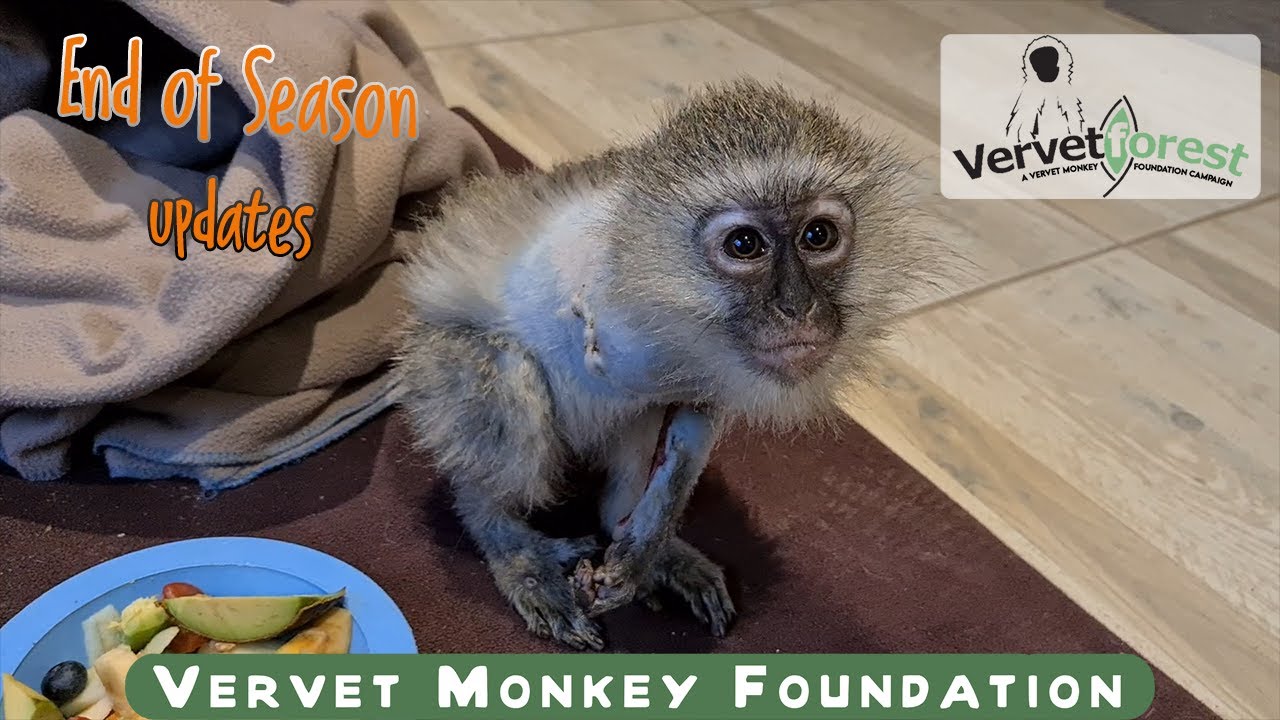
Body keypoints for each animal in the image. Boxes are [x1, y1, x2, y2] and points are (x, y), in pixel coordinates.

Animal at [395, 79, 936, 650]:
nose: (797, 307)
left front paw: (641, 555)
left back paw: (627, 528)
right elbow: (593, 360)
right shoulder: (619, 335)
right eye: (745, 244)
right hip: (432, 369)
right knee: (507, 371)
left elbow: (692, 413)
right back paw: (507, 541)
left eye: (818, 236)